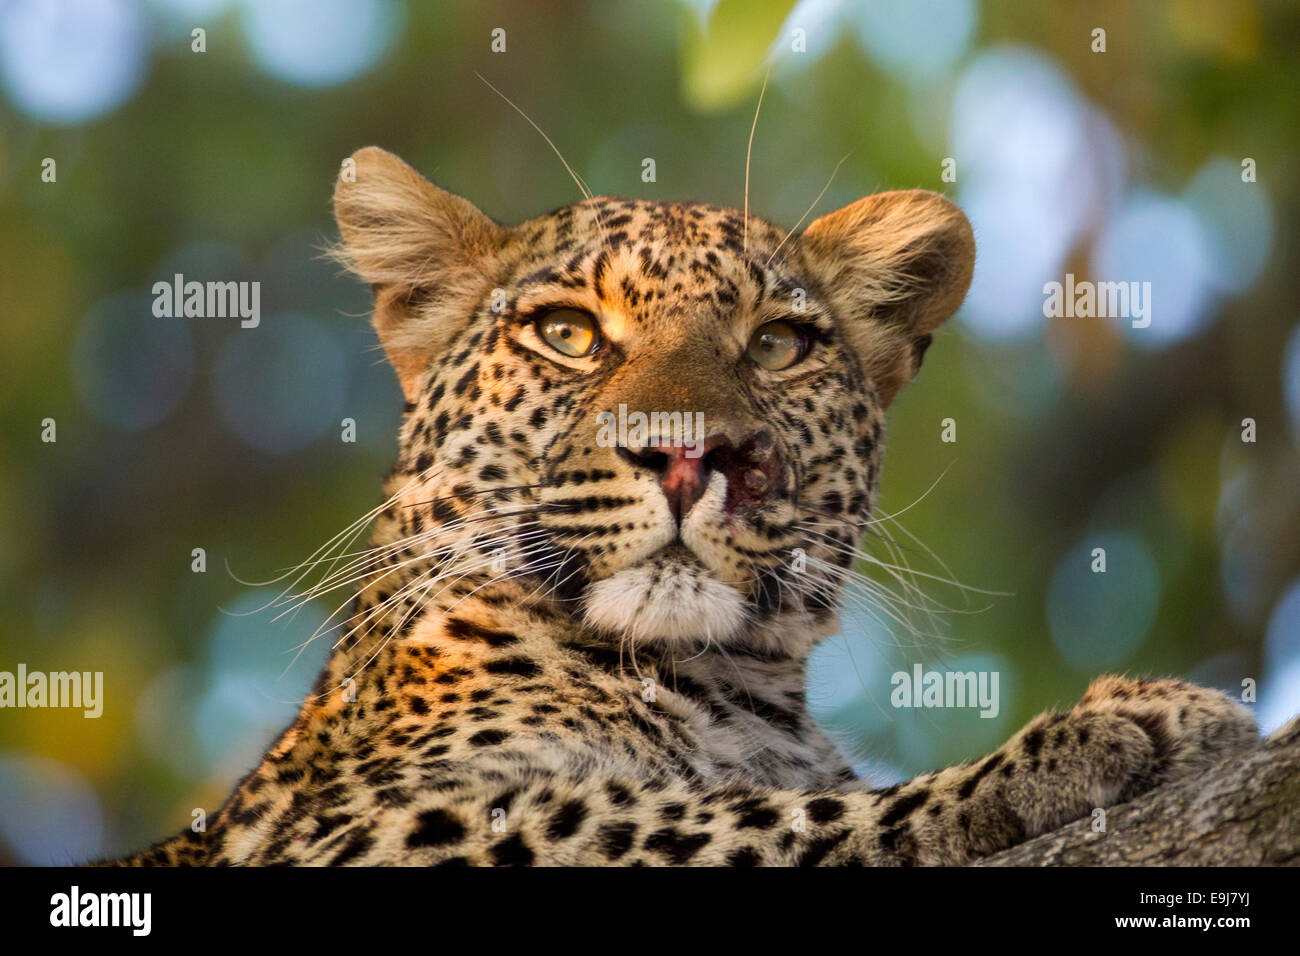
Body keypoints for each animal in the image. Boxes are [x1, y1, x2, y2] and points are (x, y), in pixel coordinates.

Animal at [109, 146, 1257, 866]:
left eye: (777, 345)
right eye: (568, 334)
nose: (690, 456)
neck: (731, 696)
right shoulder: (383, 829)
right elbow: (739, 819)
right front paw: (1087, 739)